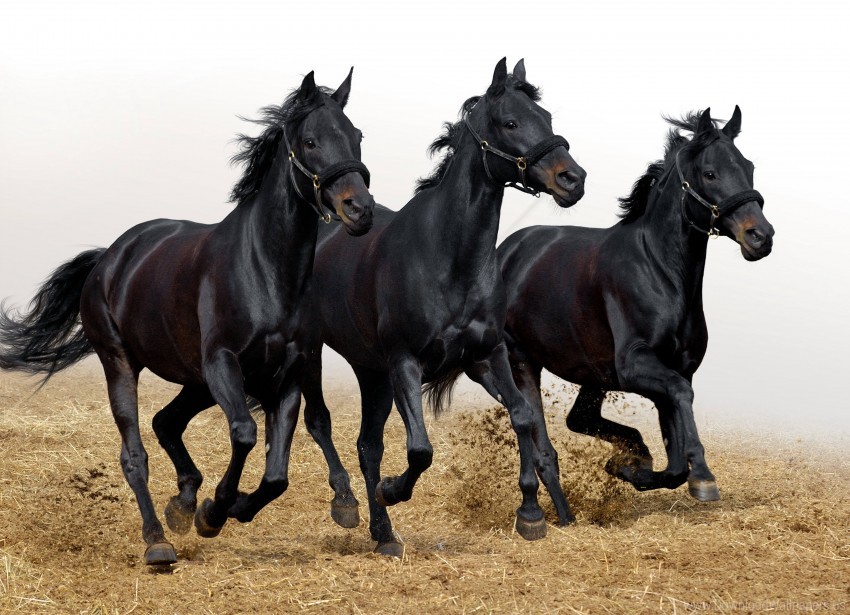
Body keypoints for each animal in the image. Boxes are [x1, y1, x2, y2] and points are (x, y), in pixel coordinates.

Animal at [0, 69, 375, 566]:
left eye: (357, 136)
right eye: (310, 141)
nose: (360, 210)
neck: (265, 271)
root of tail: (110, 258)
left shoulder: (289, 373)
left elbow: (277, 473)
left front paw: (229, 508)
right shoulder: (222, 364)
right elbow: (245, 433)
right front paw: (215, 511)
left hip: (194, 381)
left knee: (166, 422)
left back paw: (182, 504)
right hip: (123, 364)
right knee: (135, 453)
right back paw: (158, 540)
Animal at [301, 58, 586, 556]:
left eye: (546, 118)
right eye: (510, 122)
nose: (573, 179)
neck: (448, 259)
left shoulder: (487, 356)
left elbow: (523, 416)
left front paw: (531, 514)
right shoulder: (405, 363)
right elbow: (420, 449)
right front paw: (393, 490)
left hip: (371, 371)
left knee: (367, 446)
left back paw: (384, 535)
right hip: (316, 351)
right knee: (321, 423)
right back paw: (349, 505)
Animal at [494, 107, 774, 509]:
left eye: (748, 167)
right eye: (710, 173)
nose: (761, 236)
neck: (659, 272)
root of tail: (505, 252)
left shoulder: (675, 369)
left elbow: (676, 459)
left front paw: (629, 468)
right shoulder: (636, 365)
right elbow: (681, 401)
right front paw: (703, 477)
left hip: (592, 374)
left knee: (579, 419)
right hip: (523, 360)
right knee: (544, 441)